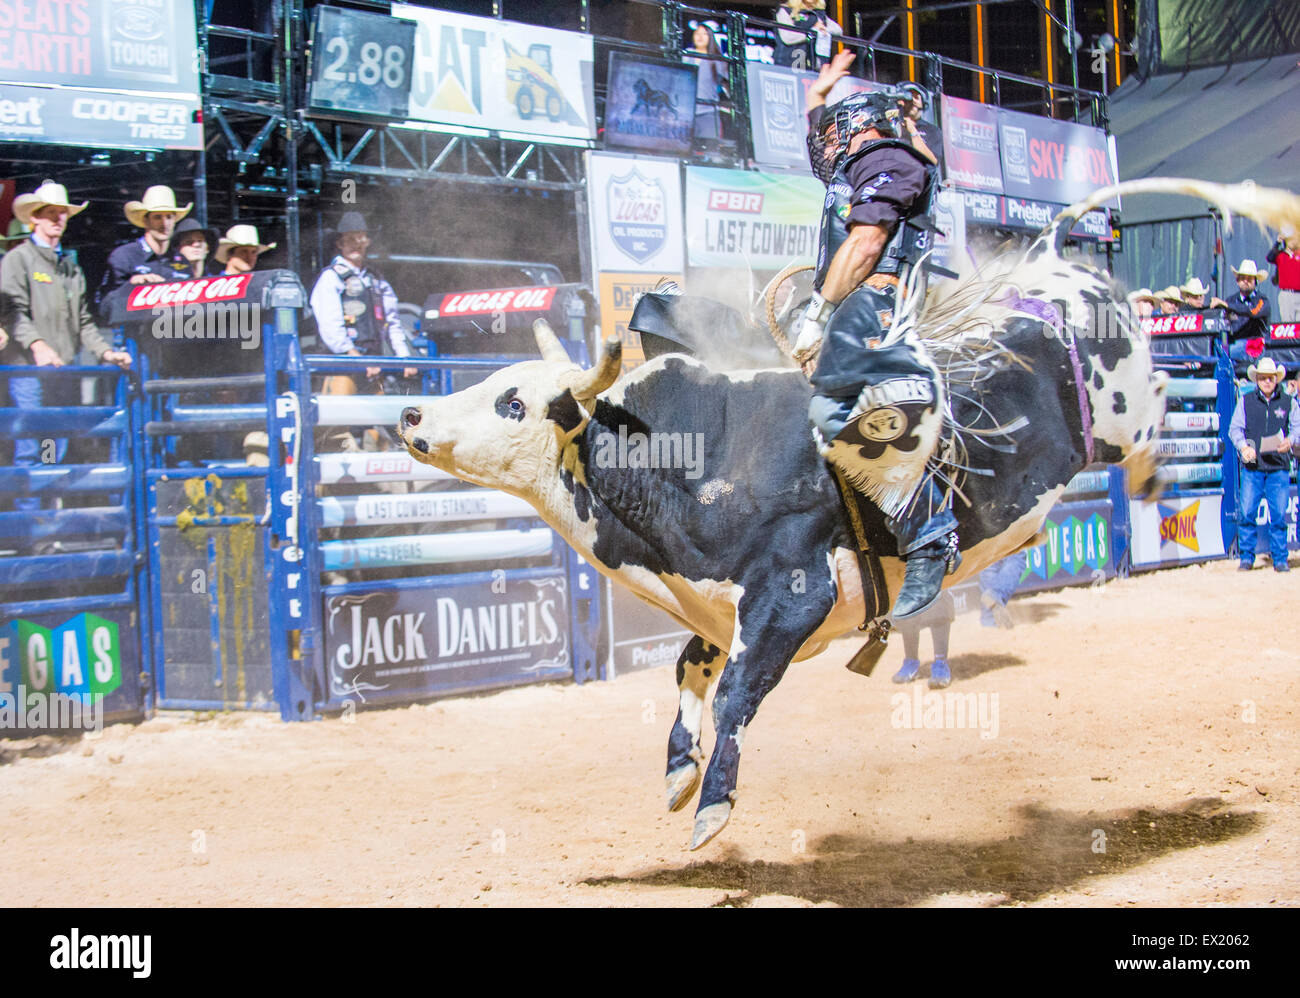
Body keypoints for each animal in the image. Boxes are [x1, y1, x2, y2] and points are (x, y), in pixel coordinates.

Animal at [397, 178, 1300, 849]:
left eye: (513, 402)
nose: (409, 416)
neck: (683, 463)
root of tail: (1048, 263)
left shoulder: (792, 598)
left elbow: (735, 696)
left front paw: (712, 807)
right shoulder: (722, 611)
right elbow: (690, 673)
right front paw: (679, 772)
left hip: (1122, 403)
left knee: (1154, 413)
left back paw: (1153, 475)